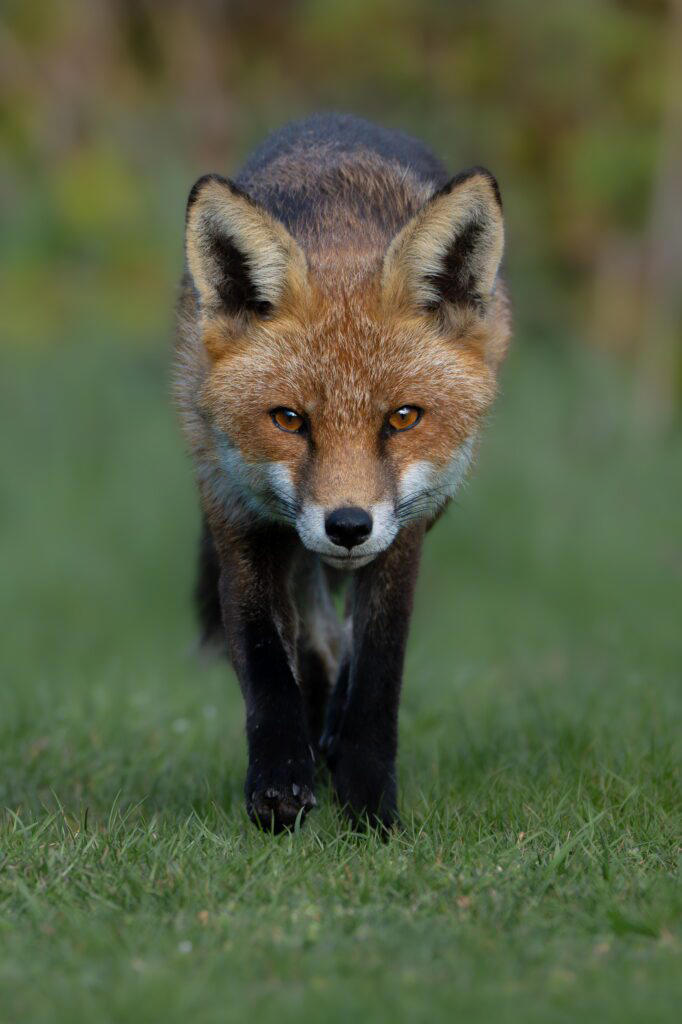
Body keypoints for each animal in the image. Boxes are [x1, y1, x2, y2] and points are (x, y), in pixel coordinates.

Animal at [175, 114, 510, 833]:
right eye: (290, 419)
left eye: (403, 418)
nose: (348, 525)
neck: (337, 227)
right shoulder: (234, 513)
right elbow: (264, 657)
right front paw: (280, 780)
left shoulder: (405, 532)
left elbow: (379, 665)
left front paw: (368, 799)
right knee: (319, 636)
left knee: (345, 639)